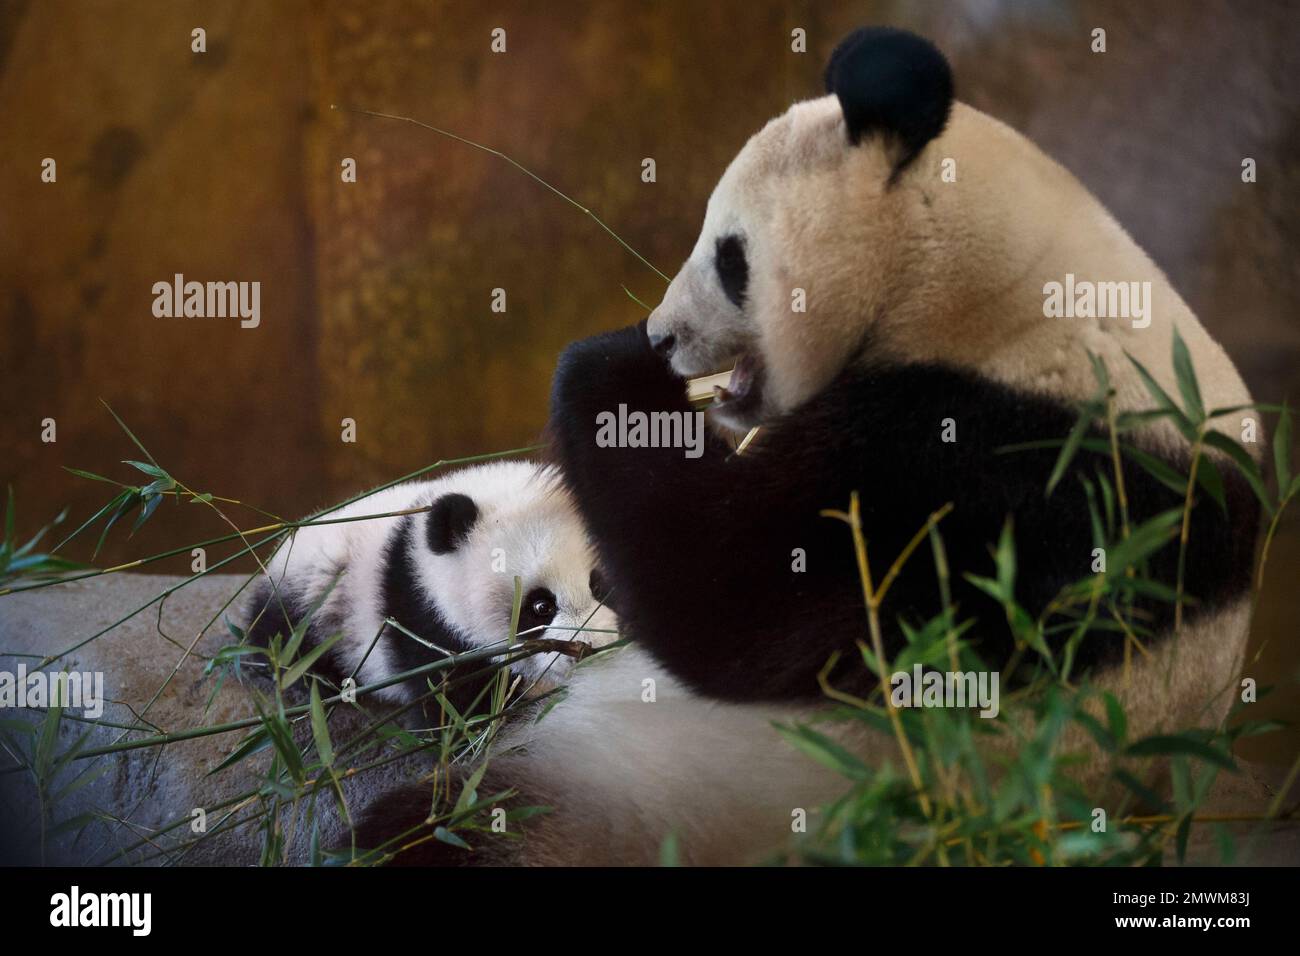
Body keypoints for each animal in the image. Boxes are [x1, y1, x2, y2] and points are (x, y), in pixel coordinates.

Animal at [242, 460, 618, 714]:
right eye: (541, 606)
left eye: (600, 585)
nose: (593, 648)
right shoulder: (420, 612)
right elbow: (451, 695)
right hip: (309, 599)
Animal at [356, 27, 1262, 865]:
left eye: (731, 258)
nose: (664, 336)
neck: (995, 291)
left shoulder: (1010, 475)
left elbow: (729, 594)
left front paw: (607, 368)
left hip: (661, 800)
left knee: (454, 830)